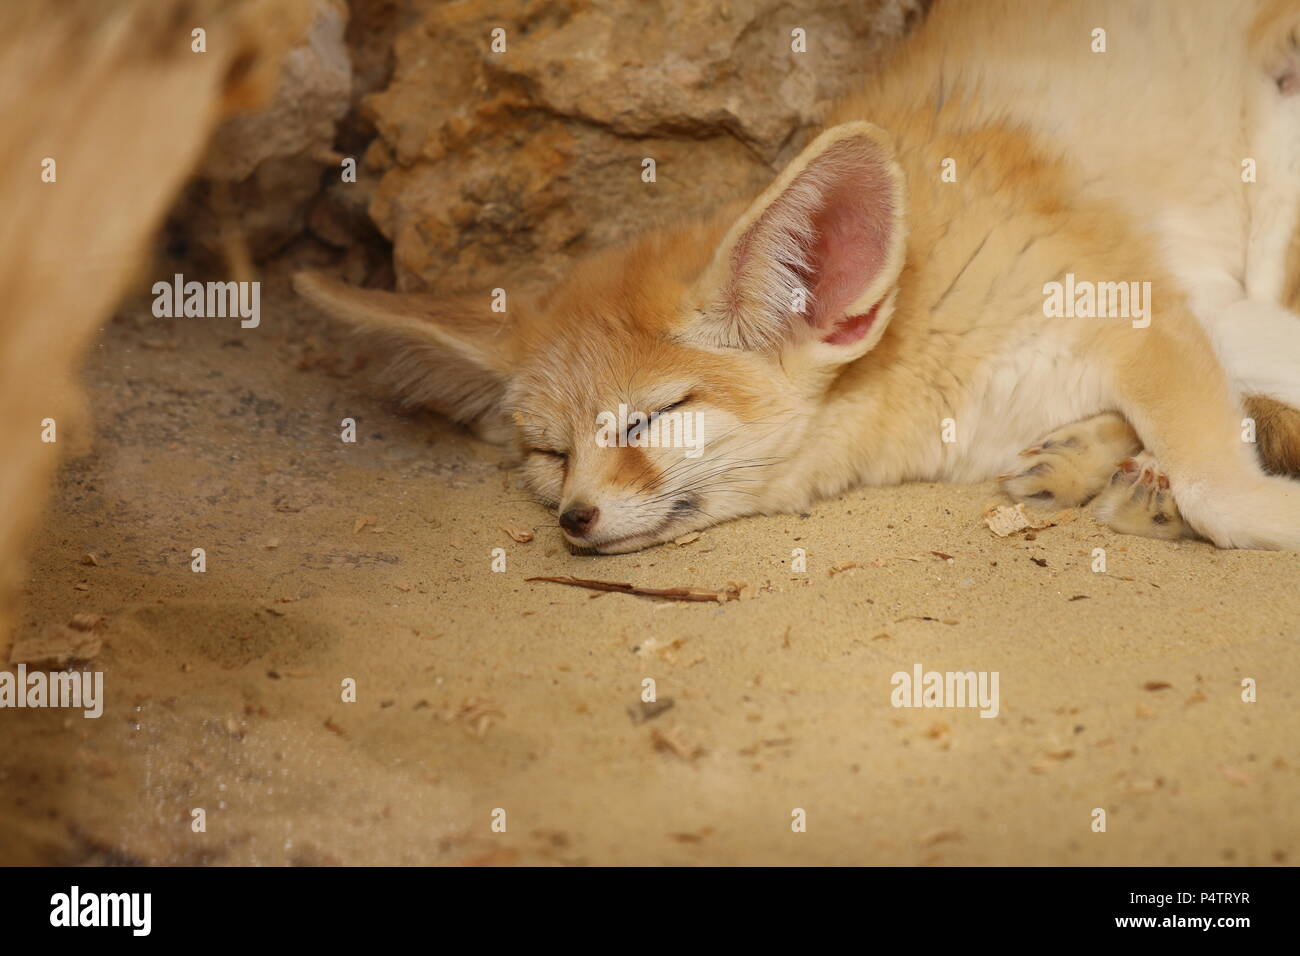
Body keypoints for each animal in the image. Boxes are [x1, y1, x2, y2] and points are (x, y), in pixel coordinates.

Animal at [295, 0, 1300, 554]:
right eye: (549, 455)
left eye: (654, 418)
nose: (574, 518)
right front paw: (1109, 454)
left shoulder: (1163, 309)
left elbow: (1217, 479)